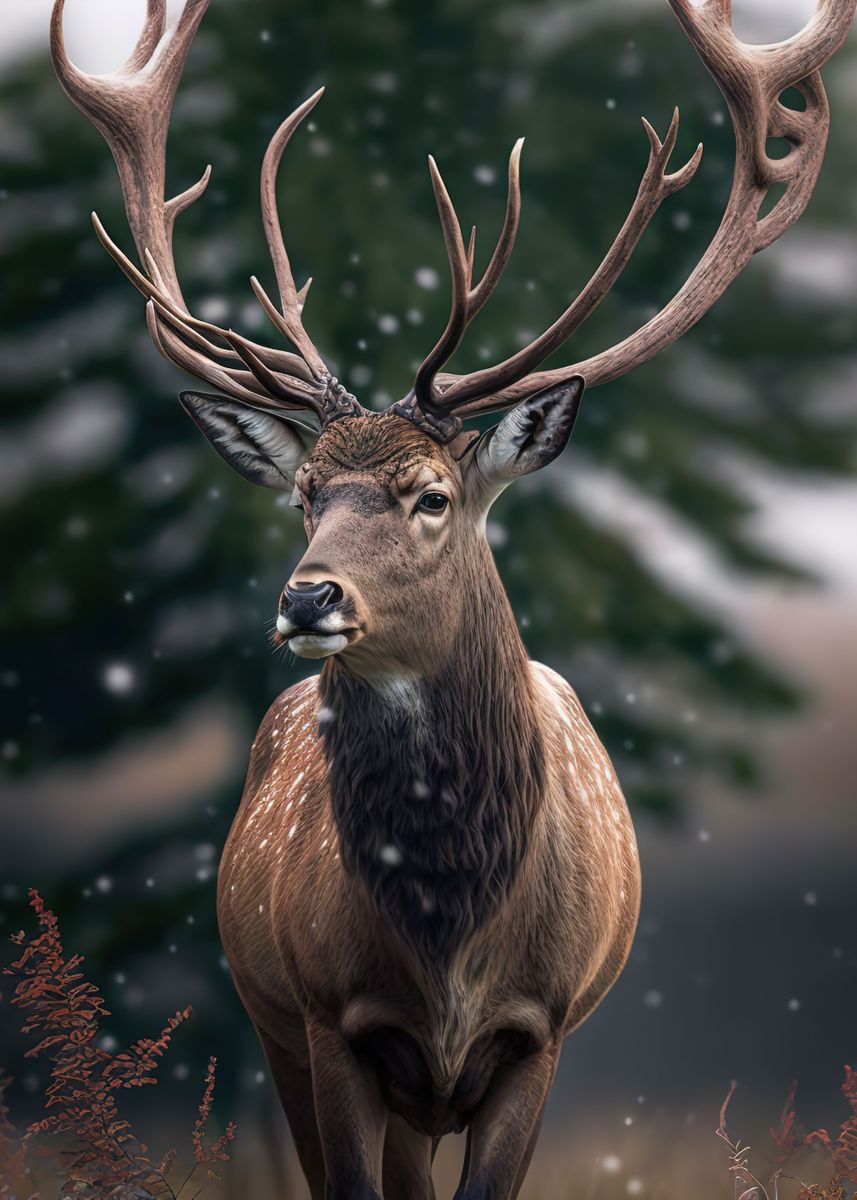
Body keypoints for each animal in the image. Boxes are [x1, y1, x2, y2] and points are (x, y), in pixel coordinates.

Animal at [50, 0, 854, 1196]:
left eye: (430, 495)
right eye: (302, 492)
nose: (305, 598)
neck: (448, 946)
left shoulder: (540, 1029)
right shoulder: (329, 1023)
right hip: (273, 1020)